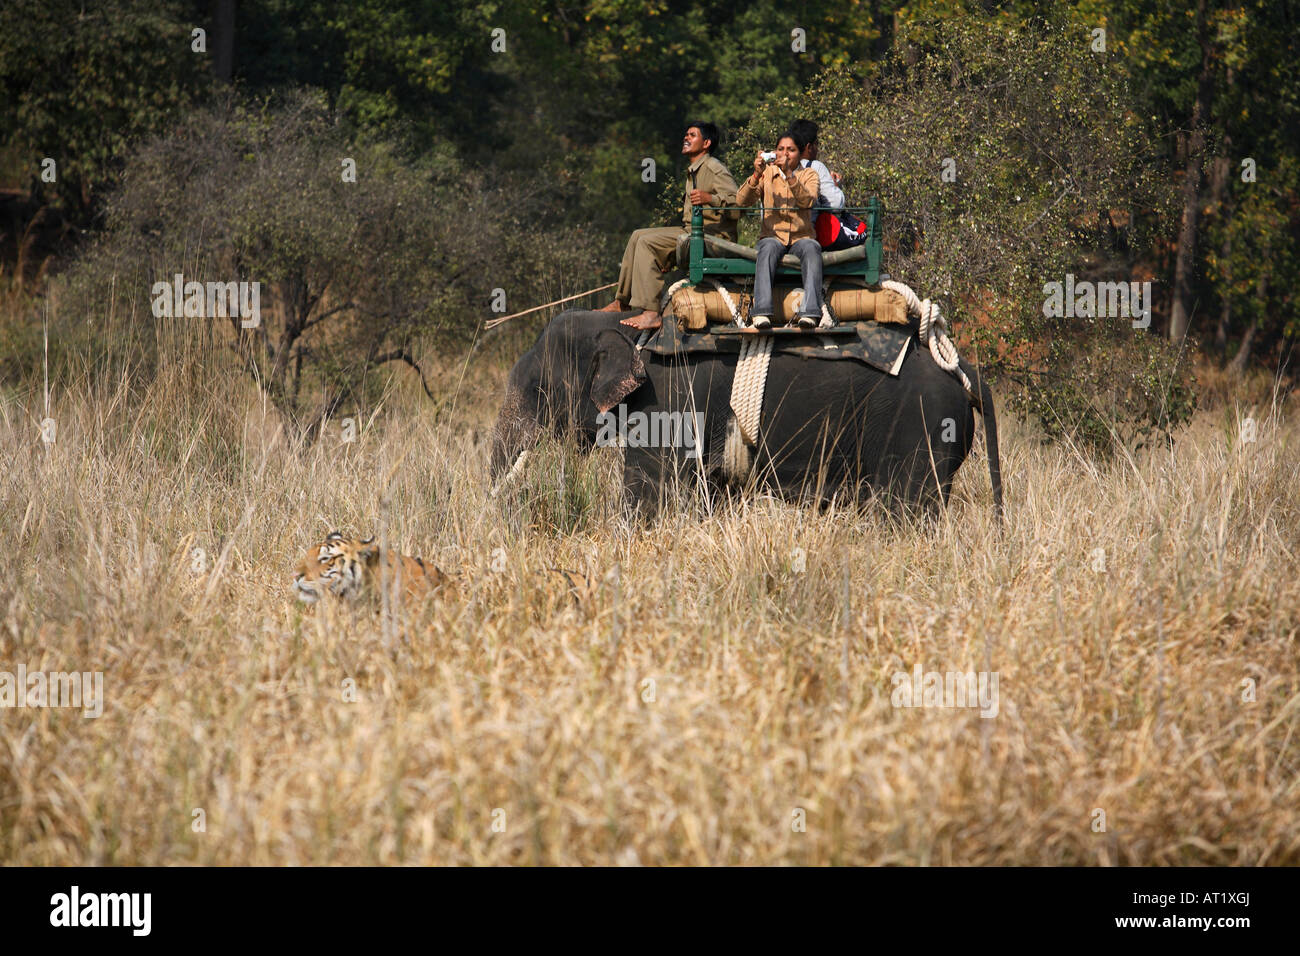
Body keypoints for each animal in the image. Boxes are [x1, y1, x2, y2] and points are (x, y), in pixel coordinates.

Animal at [489, 308, 1003, 521]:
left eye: (538, 391)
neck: (623, 322)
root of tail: (966, 370)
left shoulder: (667, 399)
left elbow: (652, 491)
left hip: (922, 426)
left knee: (907, 508)